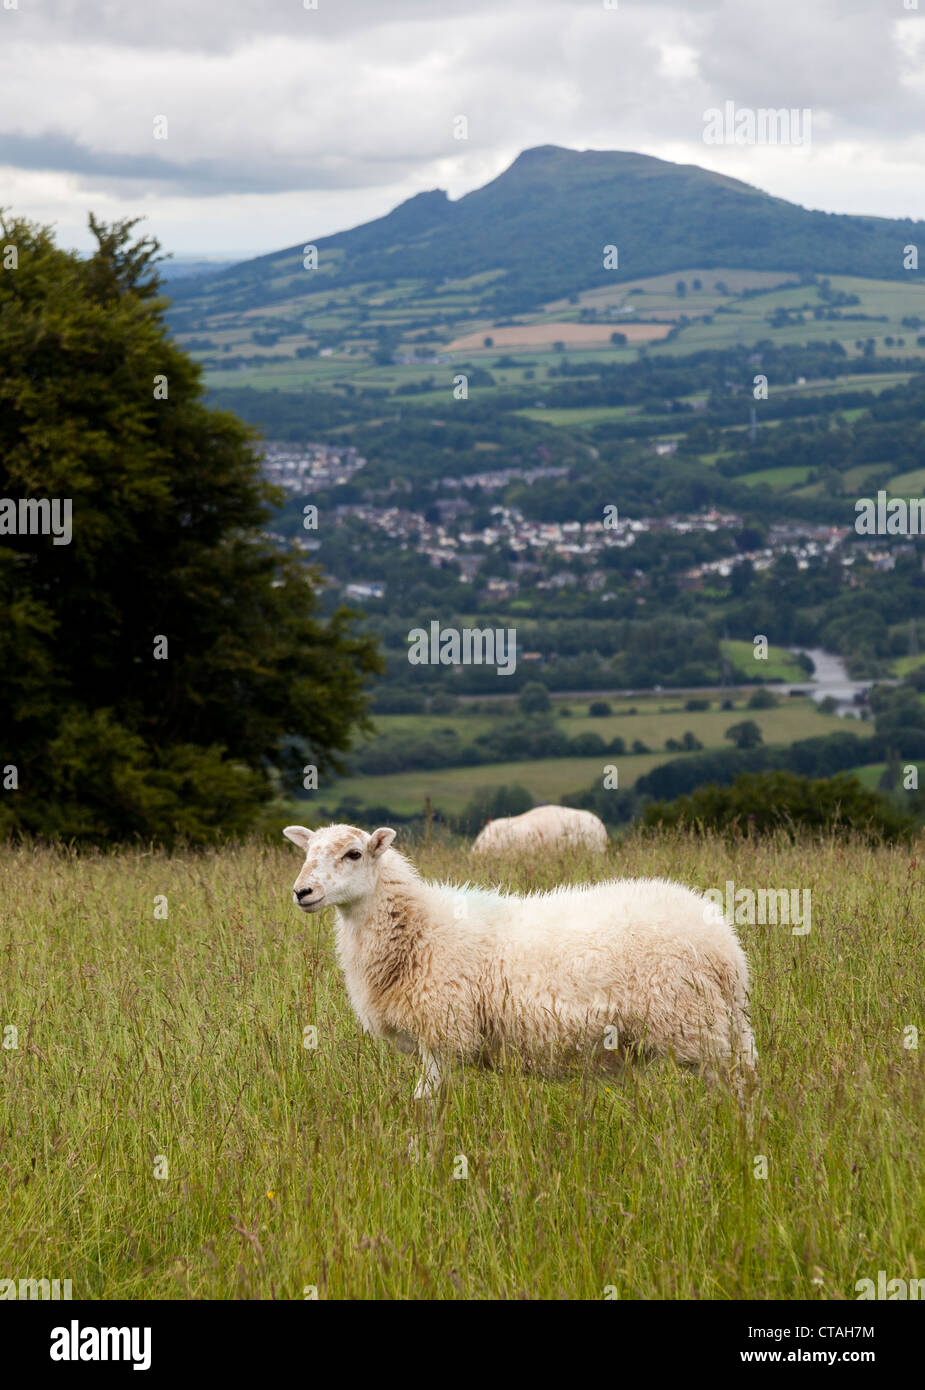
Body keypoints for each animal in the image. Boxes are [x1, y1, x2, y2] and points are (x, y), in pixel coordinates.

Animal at [283, 823, 757, 1100]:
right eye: (307, 853)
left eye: (354, 854)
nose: (302, 892)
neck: (420, 930)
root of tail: (725, 945)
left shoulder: (444, 1032)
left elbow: (424, 1107)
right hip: (723, 1023)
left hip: (695, 1026)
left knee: (734, 1087)